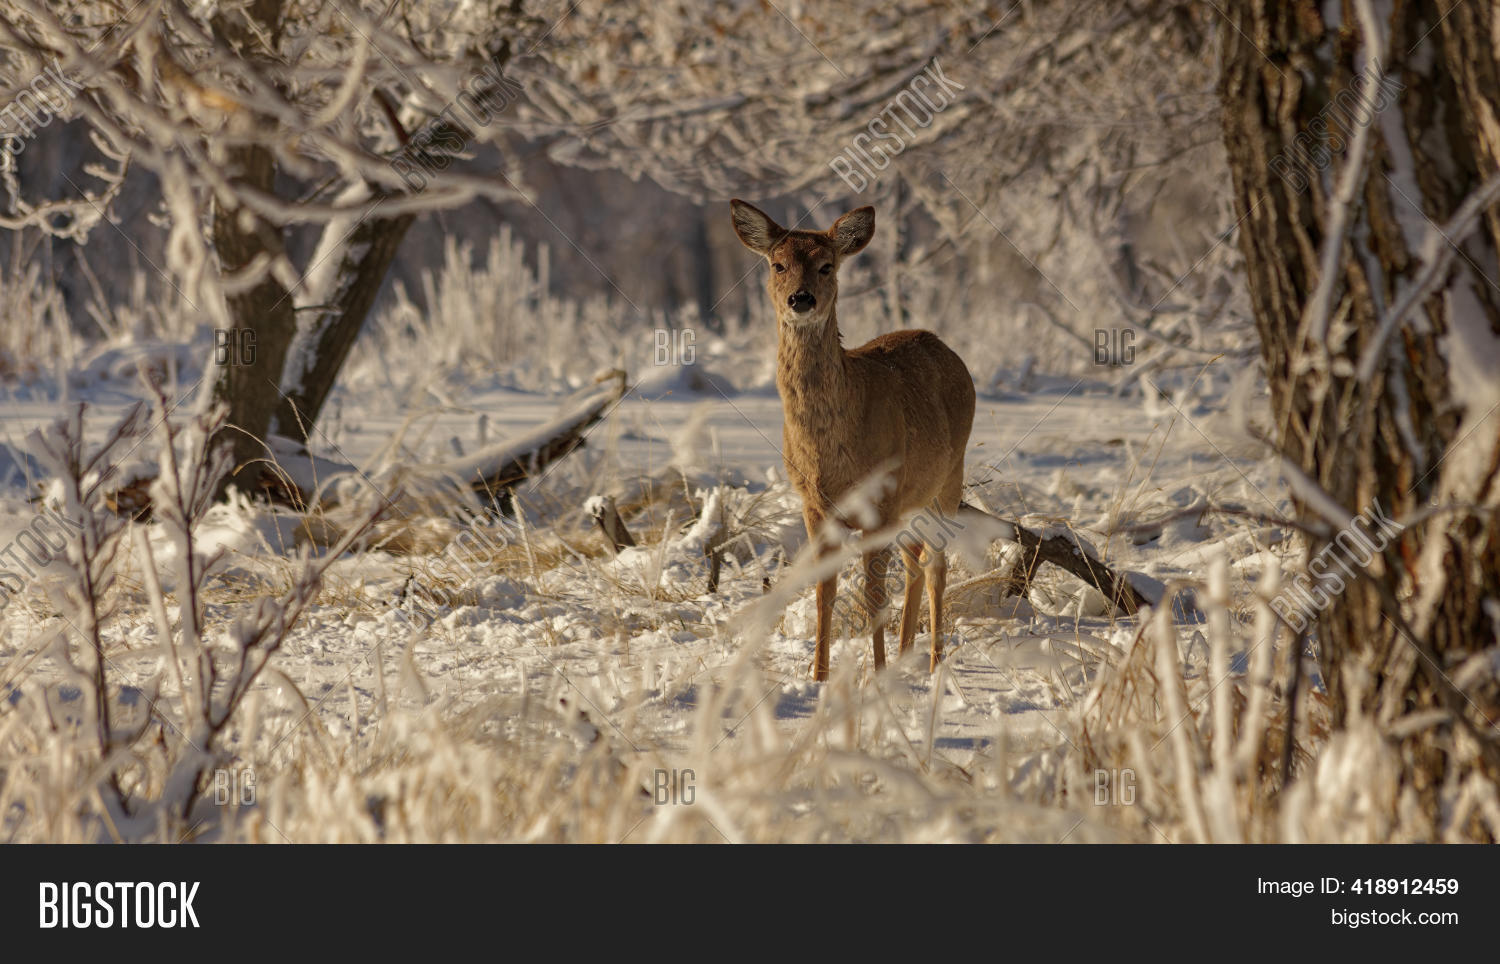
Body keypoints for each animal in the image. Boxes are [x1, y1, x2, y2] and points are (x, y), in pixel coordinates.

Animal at [730, 199, 976, 682]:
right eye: (778, 264)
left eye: (827, 266)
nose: (800, 298)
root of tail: (945, 347)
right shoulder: (813, 505)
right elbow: (824, 590)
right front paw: (819, 677)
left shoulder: (879, 500)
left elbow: (873, 594)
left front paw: (874, 677)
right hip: (911, 499)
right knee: (915, 561)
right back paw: (905, 656)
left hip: (948, 478)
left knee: (935, 565)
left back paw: (934, 664)